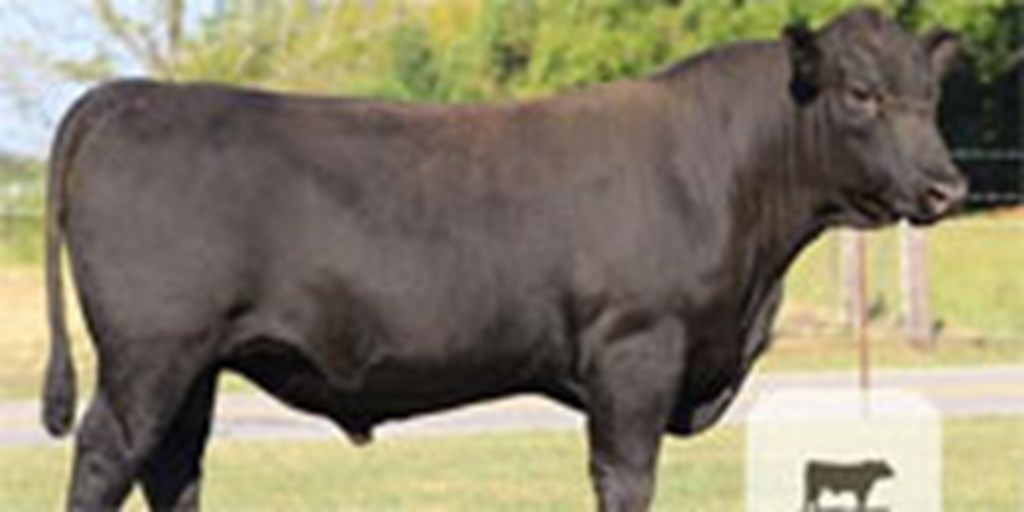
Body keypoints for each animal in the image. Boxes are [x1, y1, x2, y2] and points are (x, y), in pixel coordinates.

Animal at [41, 8, 965, 512]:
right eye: (861, 94)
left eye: (930, 95)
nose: (947, 187)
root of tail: (135, 95)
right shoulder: (635, 354)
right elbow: (625, 479)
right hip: (150, 355)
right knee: (105, 458)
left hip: (192, 365)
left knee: (172, 469)